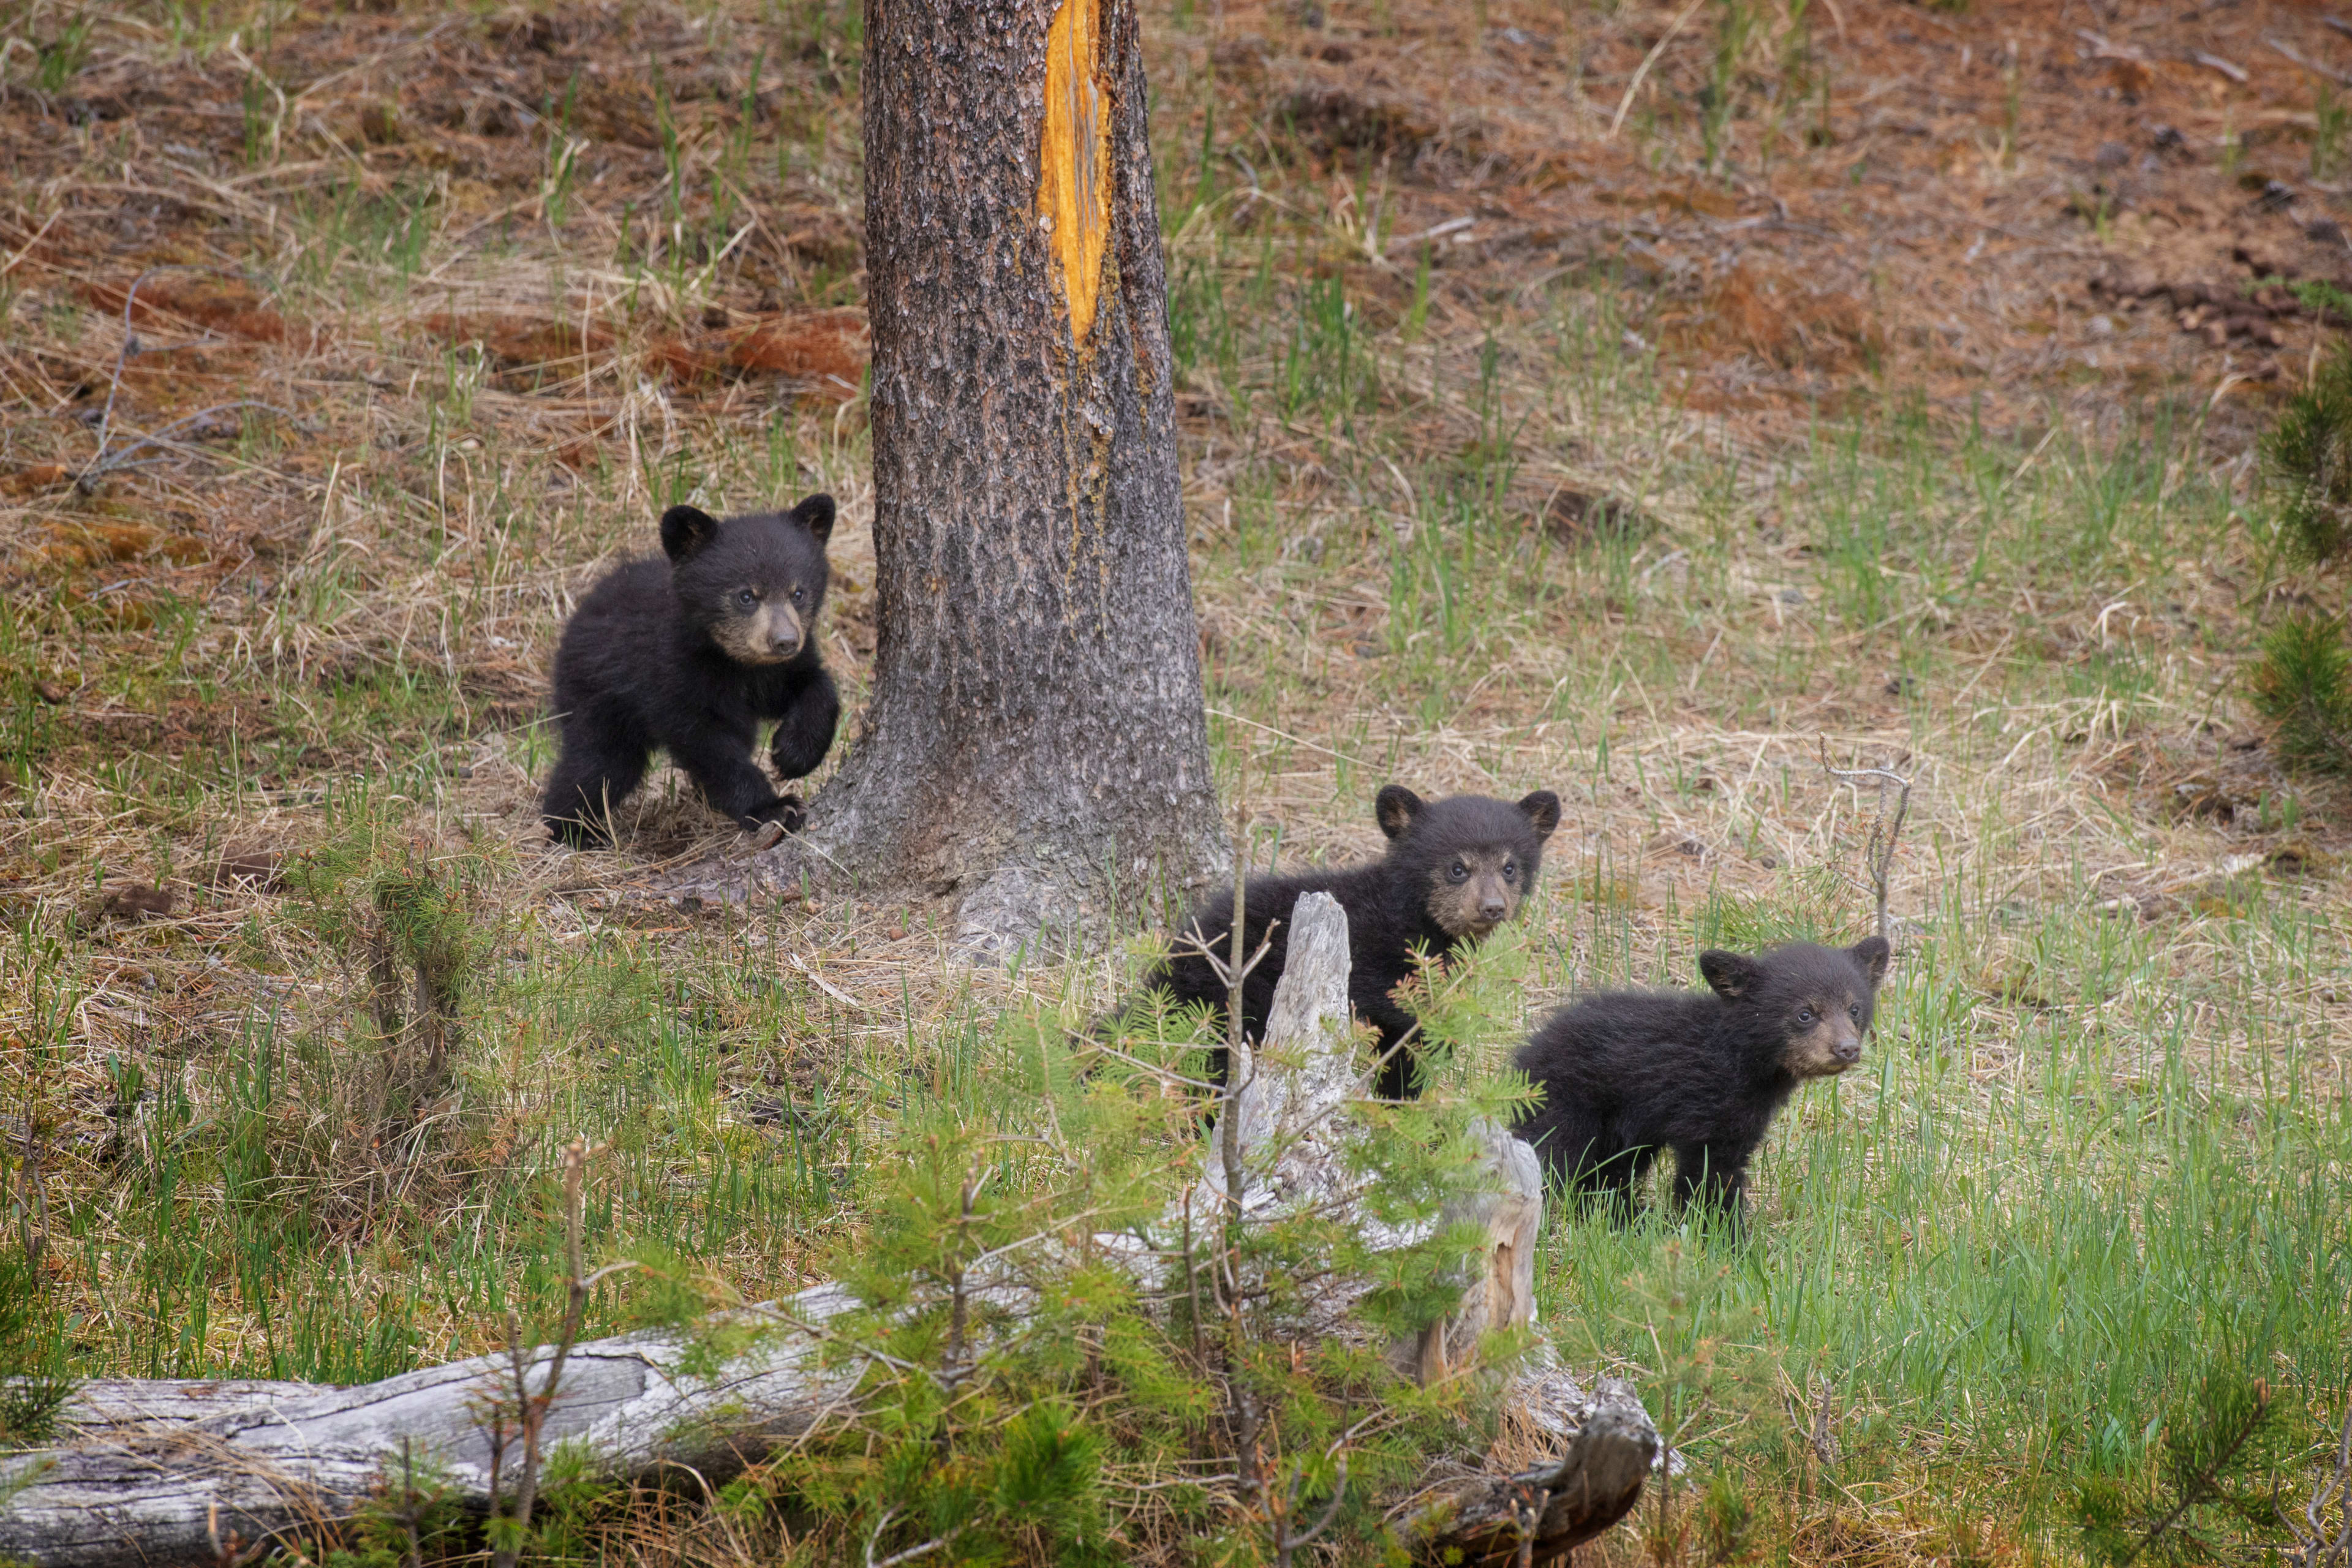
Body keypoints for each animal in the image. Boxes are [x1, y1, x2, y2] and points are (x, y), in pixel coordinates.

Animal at [542, 495, 841, 848]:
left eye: (798, 593)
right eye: (746, 596)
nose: (785, 641)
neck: (735, 662)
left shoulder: (779, 671)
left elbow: (815, 683)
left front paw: (794, 753)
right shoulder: (672, 671)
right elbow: (706, 744)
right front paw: (776, 808)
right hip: (595, 692)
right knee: (598, 764)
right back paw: (576, 830)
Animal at [1142, 784, 1562, 1100]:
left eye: (1510, 867)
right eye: (1457, 868)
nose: (1493, 907)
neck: (1414, 920)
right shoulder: (1377, 961)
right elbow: (1403, 1031)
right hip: (1235, 995)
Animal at [1510, 937, 1890, 1227]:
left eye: (1854, 1009)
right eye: (1805, 1014)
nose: (1848, 1048)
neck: (1739, 1057)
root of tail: (1528, 1051)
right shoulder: (1708, 1108)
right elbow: (1710, 1176)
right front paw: (1730, 1243)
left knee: (1605, 1175)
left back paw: (1629, 1219)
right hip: (1568, 1104)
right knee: (1552, 1156)